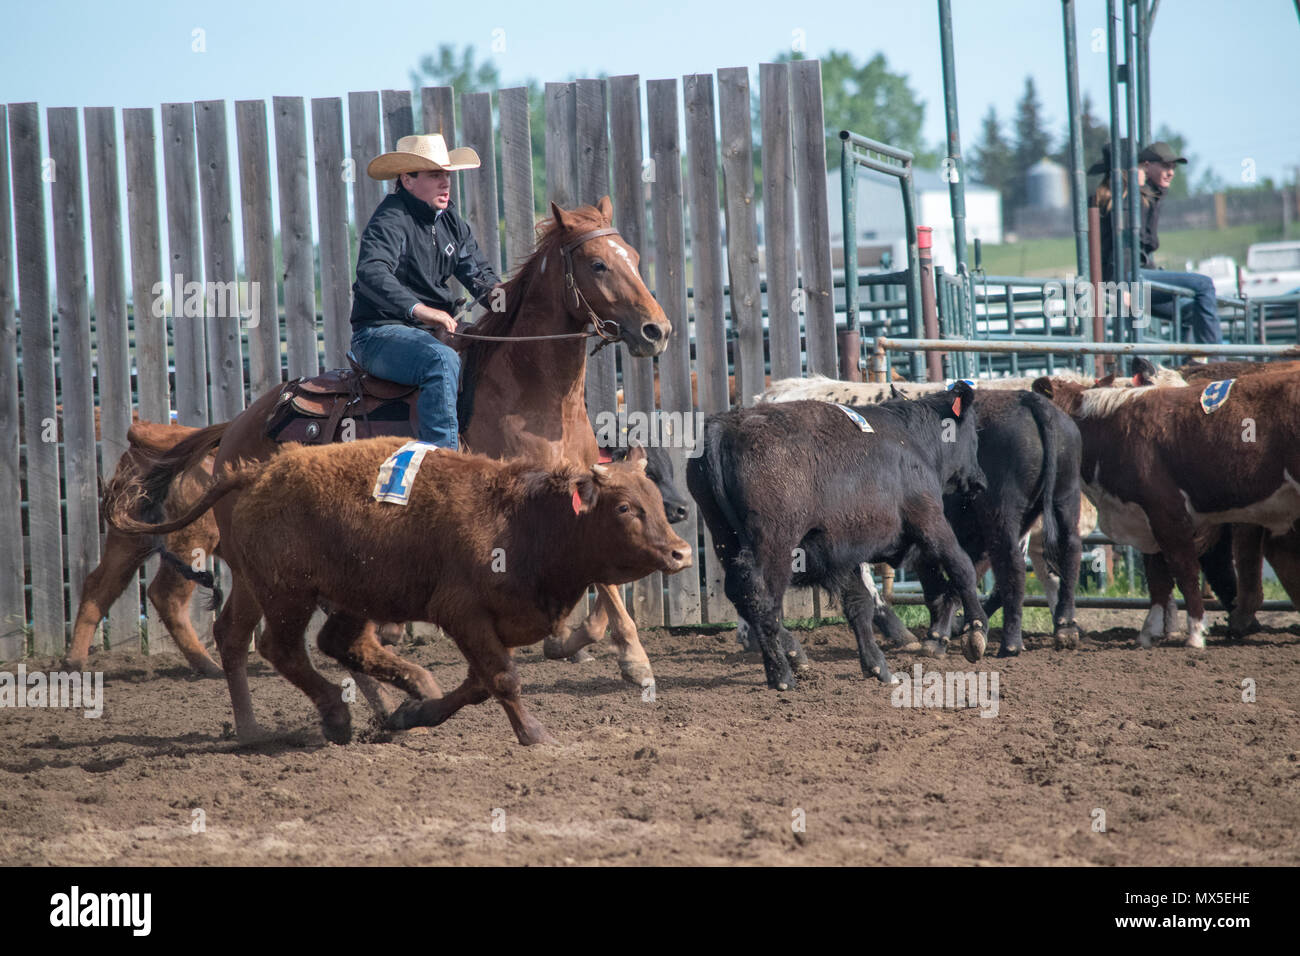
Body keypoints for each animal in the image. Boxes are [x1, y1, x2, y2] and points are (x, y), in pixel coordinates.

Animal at [107, 437, 691, 745]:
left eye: (654, 500)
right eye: (625, 507)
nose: (681, 552)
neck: (521, 521)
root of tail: (259, 472)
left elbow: (479, 684)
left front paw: (416, 714)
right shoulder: (461, 613)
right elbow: (503, 679)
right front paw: (536, 736)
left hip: (351, 594)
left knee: (338, 644)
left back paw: (405, 694)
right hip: (285, 592)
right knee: (279, 648)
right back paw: (334, 716)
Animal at [687, 383, 988, 691]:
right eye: (975, 433)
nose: (981, 480)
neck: (912, 442)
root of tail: (725, 426)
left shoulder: (844, 553)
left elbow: (859, 604)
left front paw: (876, 666)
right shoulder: (930, 520)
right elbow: (961, 567)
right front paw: (976, 631)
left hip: (725, 539)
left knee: (742, 595)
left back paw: (795, 653)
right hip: (774, 544)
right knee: (761, 599)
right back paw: (781, 674)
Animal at [1032, 368, 1300, 648]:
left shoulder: (1167, 514)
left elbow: (1184, 572)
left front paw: (1195, 633)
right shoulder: (1147, 519)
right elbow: (1158, 579)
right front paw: (1148, 634)